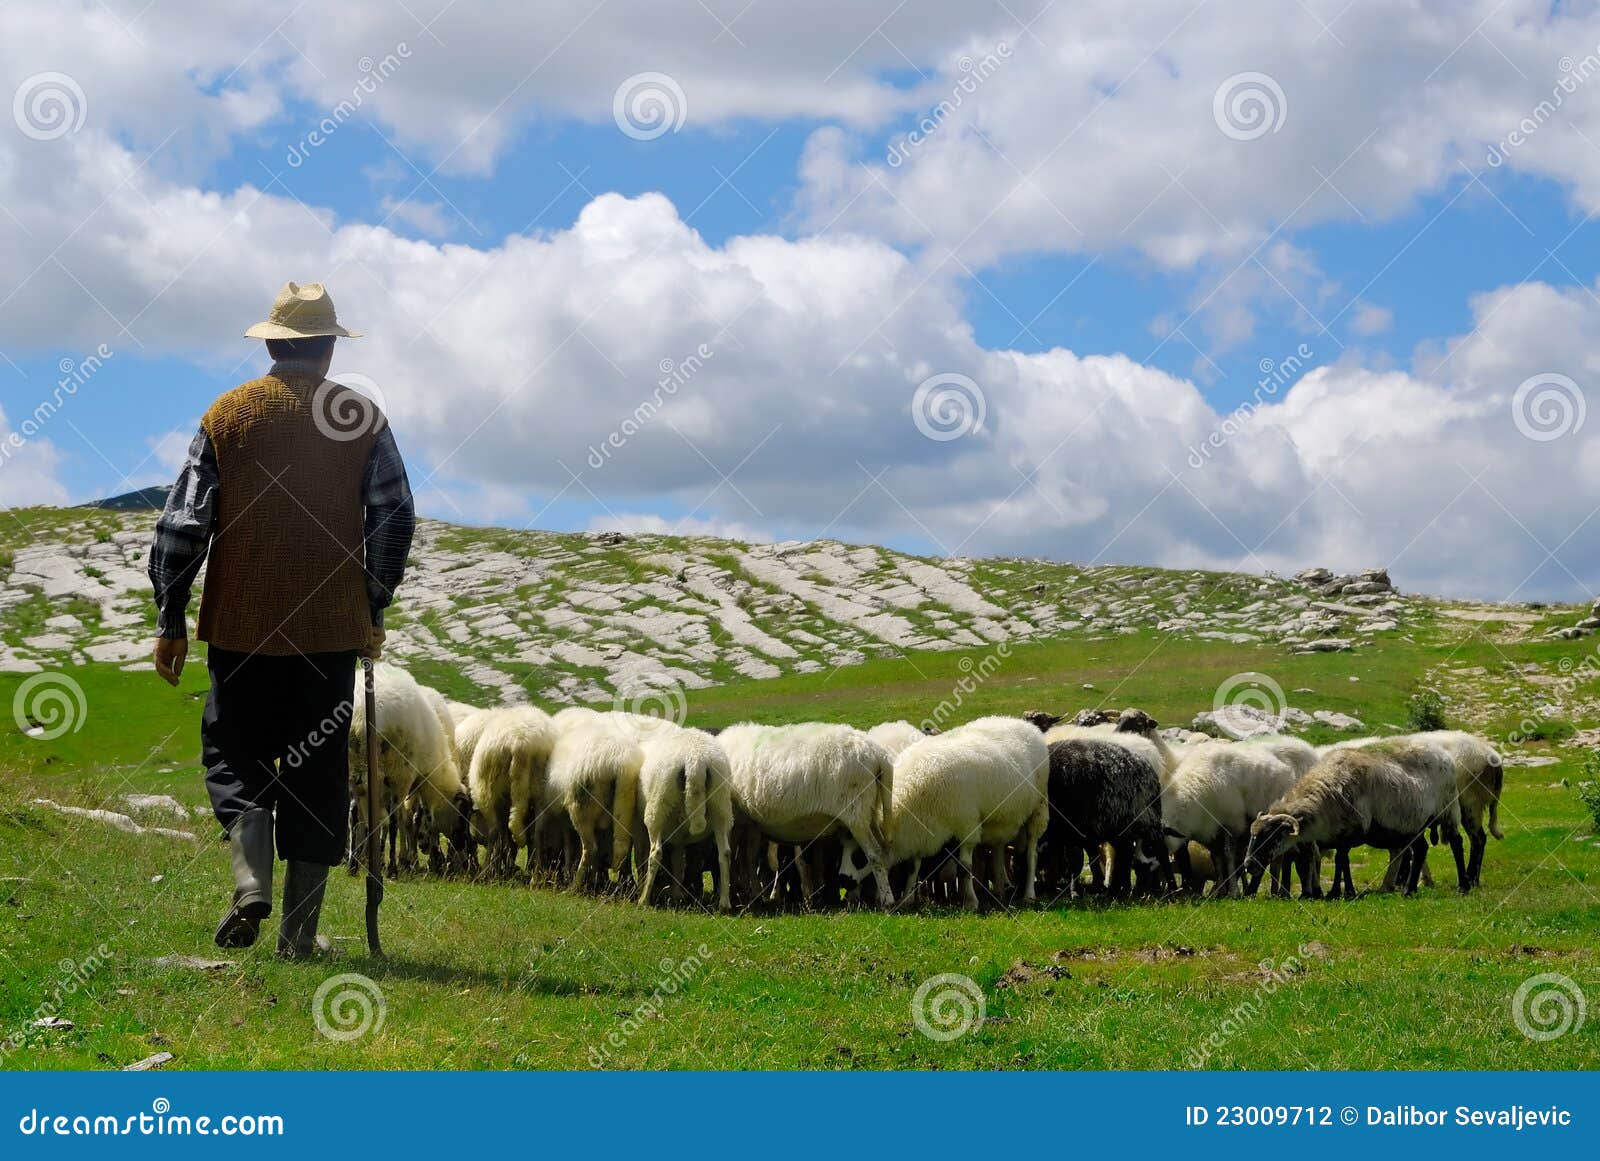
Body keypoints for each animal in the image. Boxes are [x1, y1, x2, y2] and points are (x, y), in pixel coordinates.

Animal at [629, 719, 734, 910]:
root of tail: (696, 760)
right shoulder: (679, 836)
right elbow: (679, 863)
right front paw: (677, 894)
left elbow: (646, 856)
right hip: (721, 804)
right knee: (724, 853)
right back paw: (724, 902)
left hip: (657, 807)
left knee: (655, 853)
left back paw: (644, 900)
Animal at [718, 722, 896, 909]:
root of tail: (878, 754)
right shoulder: (751, 823)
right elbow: (749, 858)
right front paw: (752, 894)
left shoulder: (737, 819)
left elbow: (735, 858)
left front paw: (736, 894)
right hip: (869, 813)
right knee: (884, 850)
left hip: (856, 814)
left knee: (874, 853)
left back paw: (887, 899)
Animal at [879, 716, 1049, 910]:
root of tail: (1025, 725)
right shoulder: (921, 830)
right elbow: (913, 867)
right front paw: (906, 900)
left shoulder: (967, 825)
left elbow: (965, 867)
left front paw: (970, 902)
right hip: (1001, 819)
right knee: (998, 851)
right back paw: (1000, 891)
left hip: (1039, 808)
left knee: (1031, 854)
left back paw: (1028, 894)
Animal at [1244, 746, 1438, 898]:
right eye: (1252, 836)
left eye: (1272, 836)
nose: (1248, 864)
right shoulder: (1328, 839)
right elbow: (1329, 862)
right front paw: (1330, 892)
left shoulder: (1349, 835)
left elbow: (1340, 861)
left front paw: (1340, 892)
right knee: (1418, 849)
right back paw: (1408, 889)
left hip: (1413, 827)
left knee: (1420, 849)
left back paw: (1408, 890)